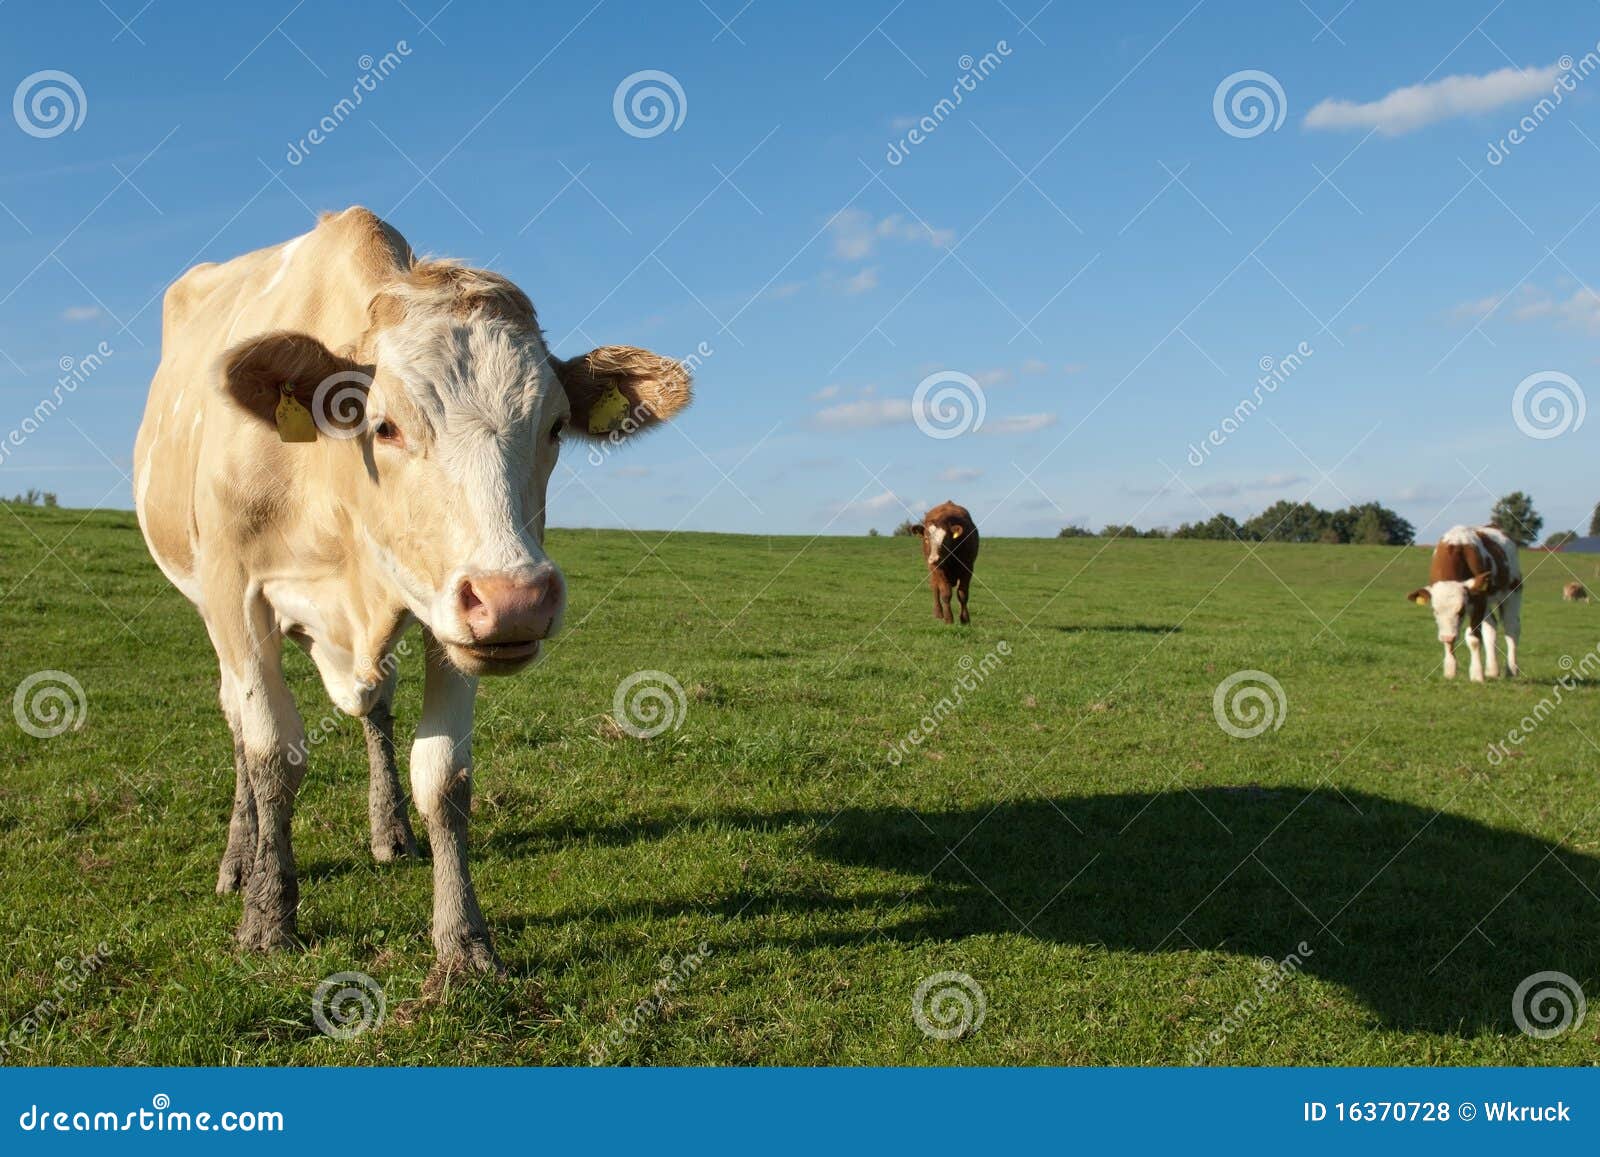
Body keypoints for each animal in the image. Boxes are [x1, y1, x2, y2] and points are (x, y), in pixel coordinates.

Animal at [132, 207, 690, 978]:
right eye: (385, 425)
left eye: (553, 426)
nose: (517, 598)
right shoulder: (234, 593)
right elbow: (272, 751)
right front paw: (268, 917)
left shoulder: (447, 615)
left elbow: (445, 776)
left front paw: (463, 942)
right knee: (237, 723)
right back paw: (240, 858)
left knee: (375, 707)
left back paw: (387, 828)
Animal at [1406, 525, 1522, 682]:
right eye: (1435, 611)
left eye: (1461, 611)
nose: (1447, 636)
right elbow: (1451, 641)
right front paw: (1450, 670)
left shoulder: (1479, 601)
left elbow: (1473, 638)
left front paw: (1476, 675)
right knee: (1491, 626)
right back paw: (1492, 670)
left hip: (1513, 591)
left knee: (1512, 628)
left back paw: (1511, 670)